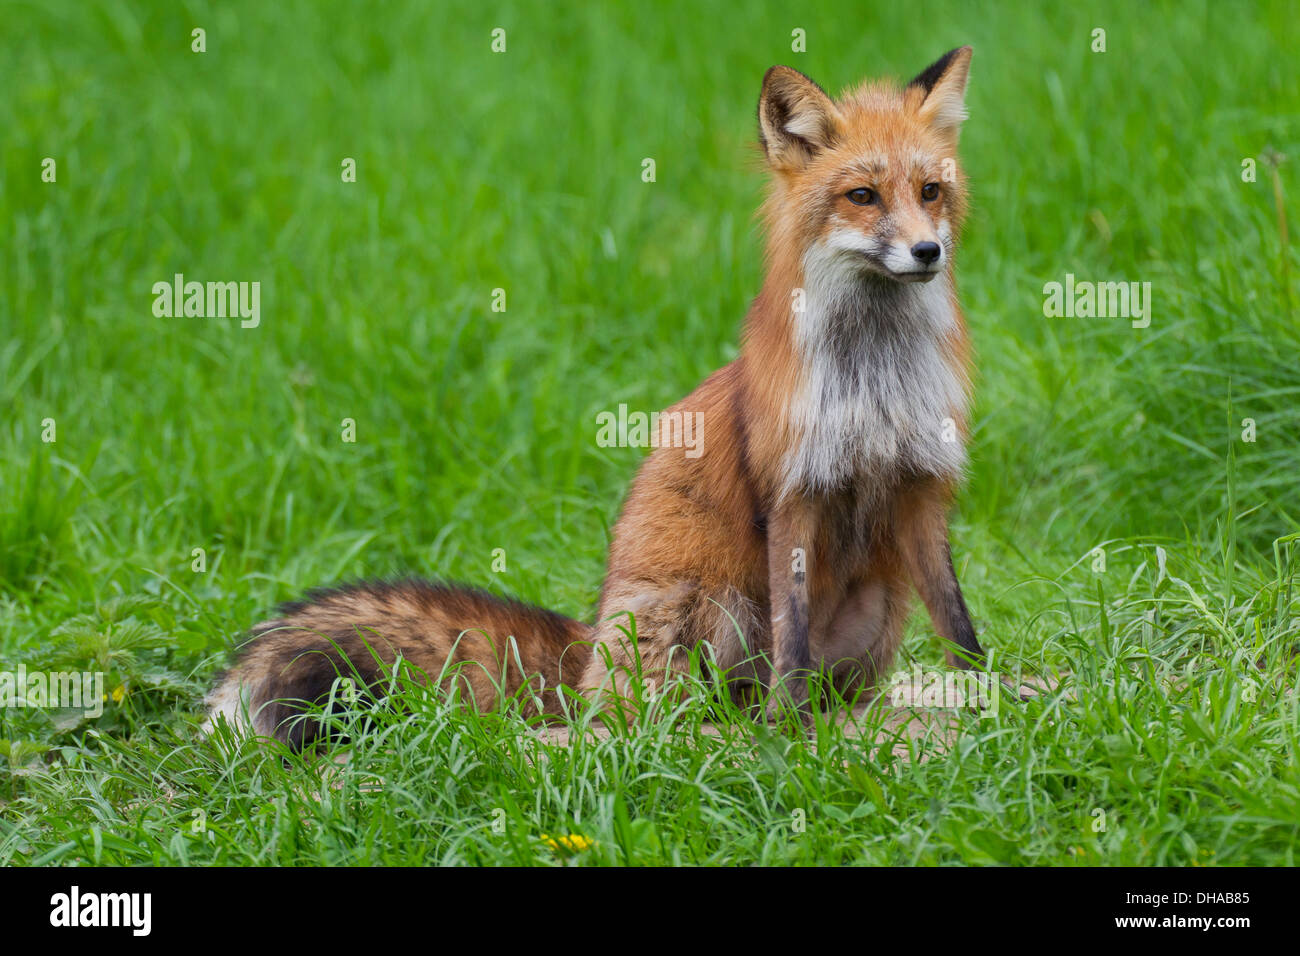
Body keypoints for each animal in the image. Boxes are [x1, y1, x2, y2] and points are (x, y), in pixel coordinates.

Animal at [206, 47, 986, 748]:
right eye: (863, 196)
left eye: (930, 192)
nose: (927, 252)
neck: (875, 380)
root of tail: (587, 654)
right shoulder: (792, 493)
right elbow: (790, 649)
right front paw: (787, 732)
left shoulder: (921, 485)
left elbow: (959, 624)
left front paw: (987, 703)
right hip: (713, 606)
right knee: (656, 714)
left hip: (877, 613)